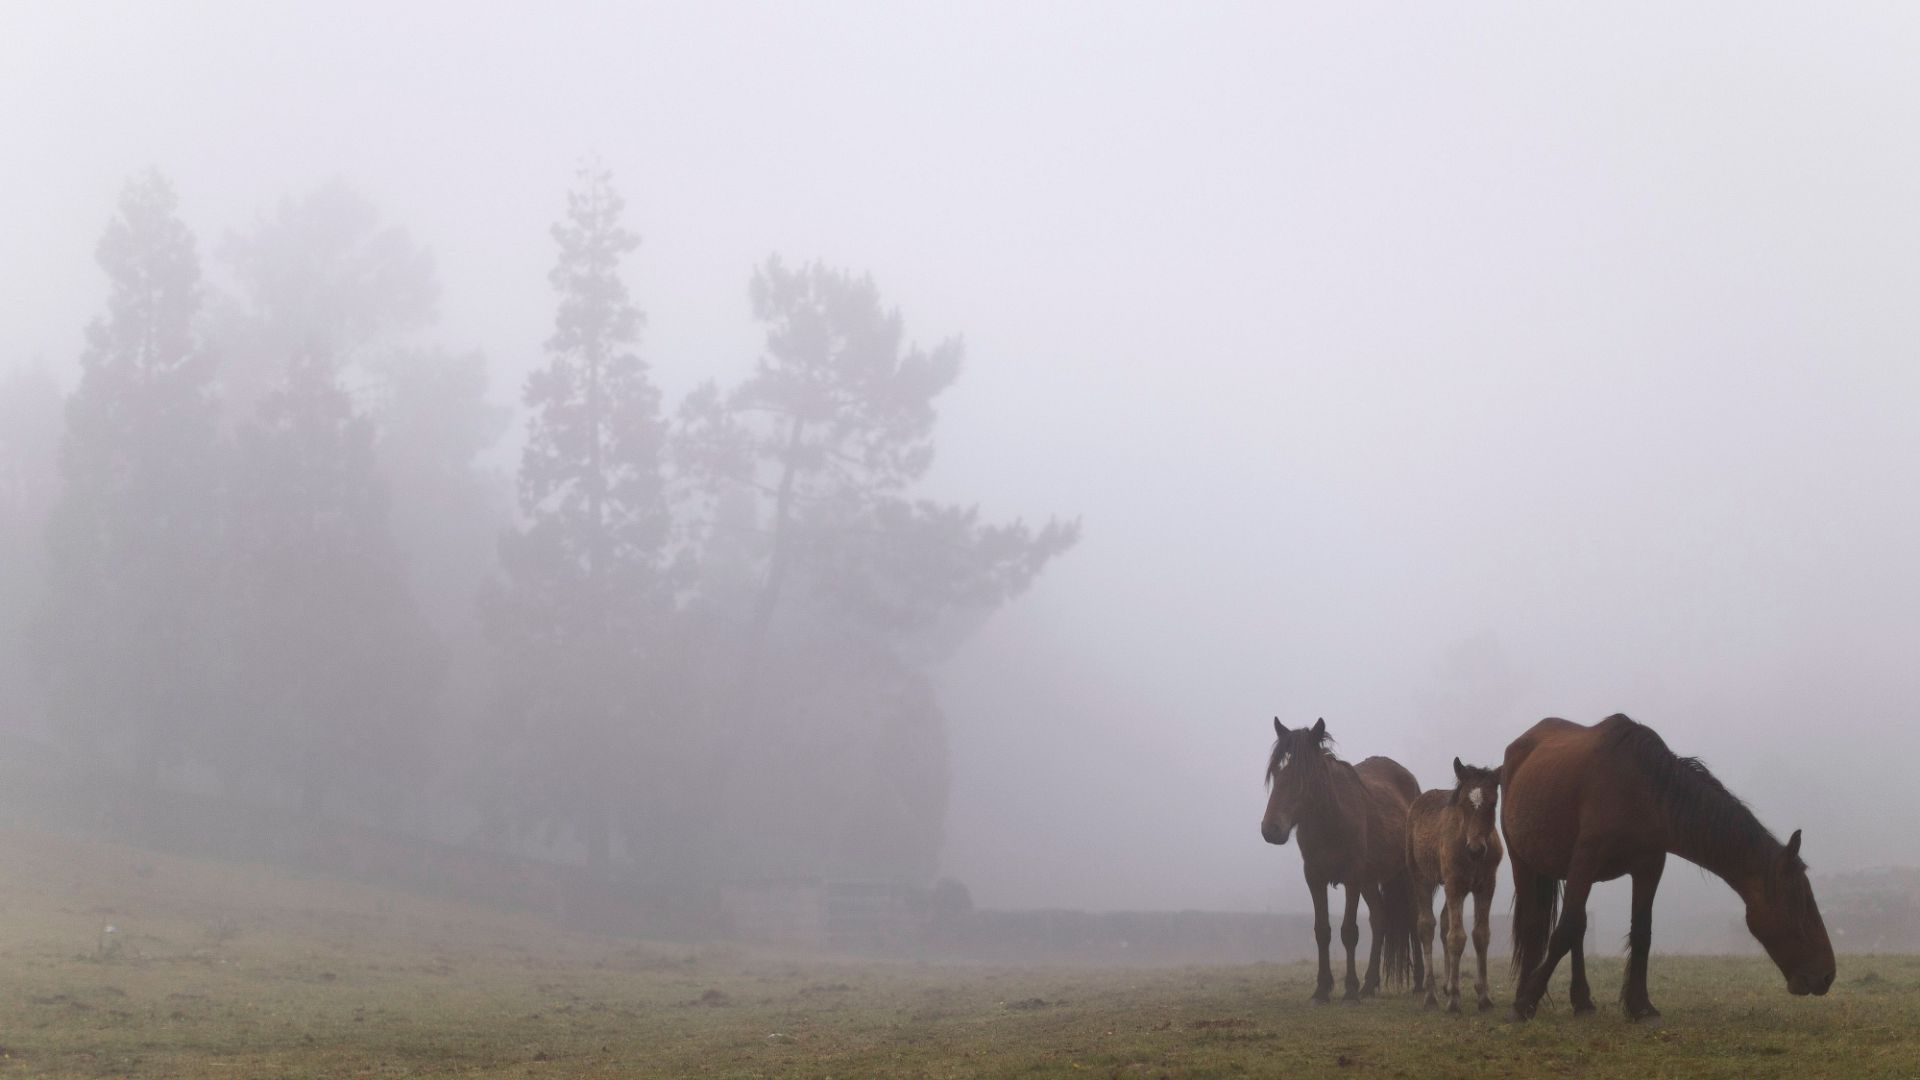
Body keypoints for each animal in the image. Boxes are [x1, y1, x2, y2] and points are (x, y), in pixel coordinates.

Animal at [1261, 717, 1424, 1003]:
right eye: (1276, 773)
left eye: (1303, 776)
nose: (1271, 829)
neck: (1332, 820)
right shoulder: (1314, 877)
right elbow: (1322, 931)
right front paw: (1322, 989)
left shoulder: (1352, 878)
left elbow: (1349, 932)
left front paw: (1349, 990)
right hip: (1370, 881)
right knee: (1379, 920)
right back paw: (1369, 984)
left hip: (1404, 874)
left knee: (1414, 919)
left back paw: (1418, 983)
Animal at [1406, 757, 1503, 1013]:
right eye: (1462, 803)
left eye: (1493, 803)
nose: (1476, 849)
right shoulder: (1454, 883)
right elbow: (1456, 937)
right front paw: (1455, 1000)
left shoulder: (1486, 885)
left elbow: (1481, 935)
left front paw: (1484, 996)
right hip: (1422, 878)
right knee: (1427, 926)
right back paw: (1431, 994)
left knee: (1443, 922)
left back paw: (1447, 985)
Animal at [1503, 714, 1834, 1020]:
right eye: (1800, 903)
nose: (1827, 975)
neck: (1641, 790)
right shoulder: (1586, 860)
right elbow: (1564, 930)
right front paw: (1526, 1002)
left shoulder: (1648, 867)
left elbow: (1641, 932)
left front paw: (1640, 1006)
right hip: (1525, 863)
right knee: (1535, 925)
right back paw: (1524, 994)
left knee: (1579, 928)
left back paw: (1582, 1001)